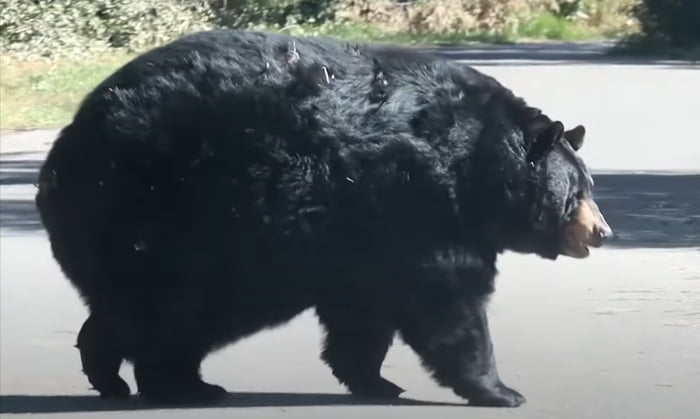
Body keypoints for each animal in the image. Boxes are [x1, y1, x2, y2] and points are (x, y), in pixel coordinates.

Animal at [35, 29, 613, 407]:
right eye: (577, 192)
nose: (603, 232)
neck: (477, 165)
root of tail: (63, 150)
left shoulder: (369, 236)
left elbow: (363, 310)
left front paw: (376, 381)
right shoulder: (420, 204)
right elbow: (448, 304)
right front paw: (502, 390)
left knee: (150, 312)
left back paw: (134, 378)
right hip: (168, 215)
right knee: (170, 309)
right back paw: (168, 385)